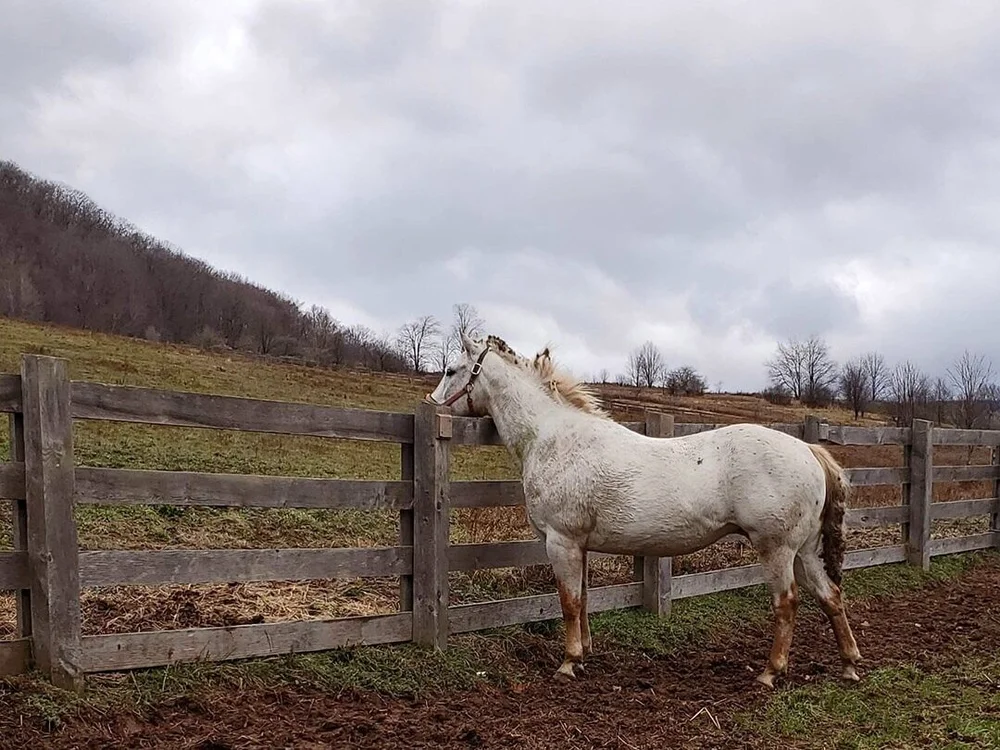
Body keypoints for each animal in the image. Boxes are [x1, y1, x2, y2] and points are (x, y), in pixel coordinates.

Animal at [426, 333, 862, 687]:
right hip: (804, 551)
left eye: (451, 370)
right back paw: (849, 664)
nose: (431, 405)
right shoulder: (580, 545)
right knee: (831, 596)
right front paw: (584, 654)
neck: (552, 437)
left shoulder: (560, 541)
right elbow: (583, 598)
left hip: (777, 550)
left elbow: (568, 602)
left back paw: (771, 672)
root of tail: (808, 450)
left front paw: (567, 663)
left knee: (787, 604)